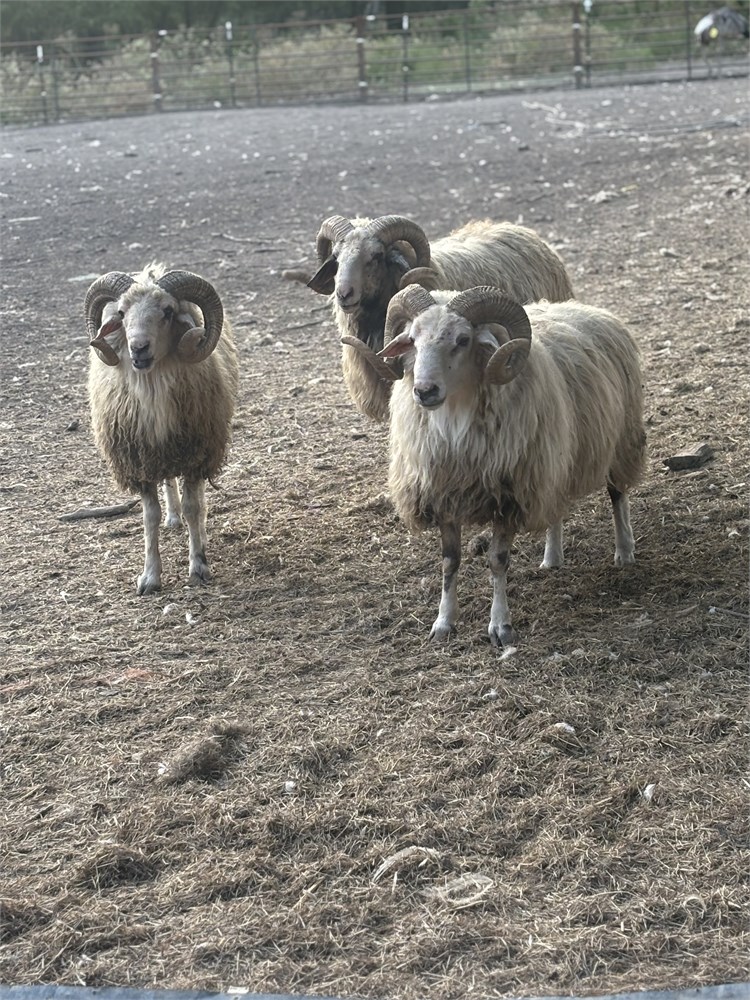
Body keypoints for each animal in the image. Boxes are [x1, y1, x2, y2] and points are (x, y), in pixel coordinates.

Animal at [84, 263, 239, 595]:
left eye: (168, 311)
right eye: (121, 313)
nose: (138, 348)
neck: (152, 389)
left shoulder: (196, 454)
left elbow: (194, 507)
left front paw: (198, 566)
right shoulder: (140, 462)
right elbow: (149, 517)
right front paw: (150, 577)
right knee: (168, 484)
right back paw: (172, 517)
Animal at [349, 284, 646, 647]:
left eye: (463, 340)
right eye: (413, 340)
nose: (424, 391)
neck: (455, 421)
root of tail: (585, 308)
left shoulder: (509, 496)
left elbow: (497, 561)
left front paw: (500, 626)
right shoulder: (445, 496)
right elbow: (449, 562)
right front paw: (443, 622)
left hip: (621, 438)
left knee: (618, 494)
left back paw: (624, 551)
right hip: (553, 460)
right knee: (555, 507)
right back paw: (553, 558)